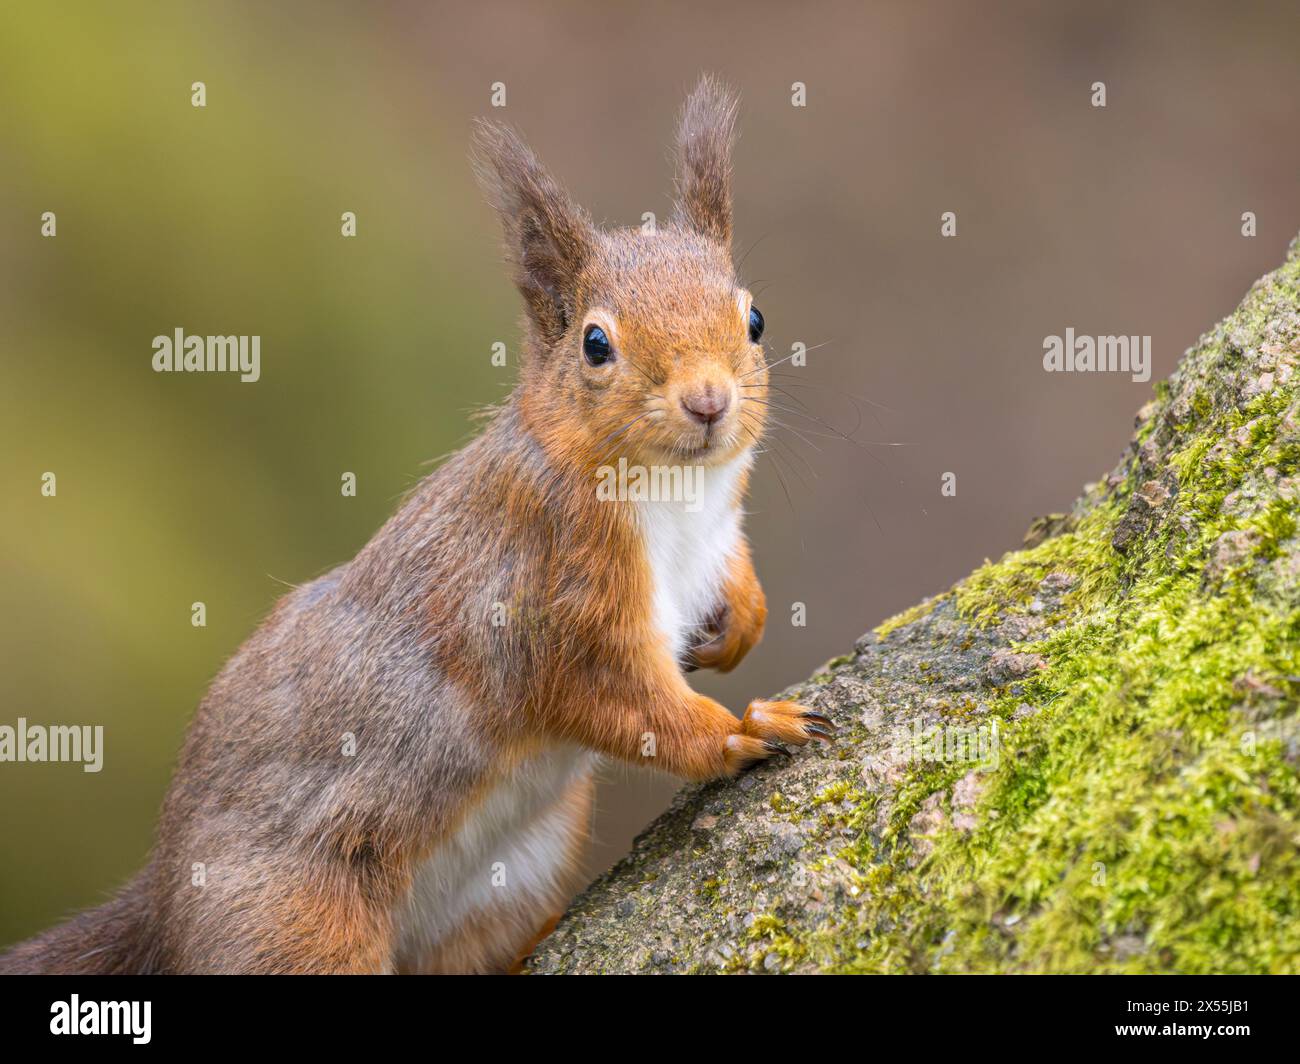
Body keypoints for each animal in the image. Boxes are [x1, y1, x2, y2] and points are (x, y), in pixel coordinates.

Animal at [0, 76, 835, 974]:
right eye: (595, 343)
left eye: (755, 320)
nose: (709, 401)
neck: (676, 492)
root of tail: (163, 902)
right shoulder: (549, 596)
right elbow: (626, 706)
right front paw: (748, 728)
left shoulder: (712, 535)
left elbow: (734, 580)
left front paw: (739, 625)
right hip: (294, 925)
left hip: (503, 885)